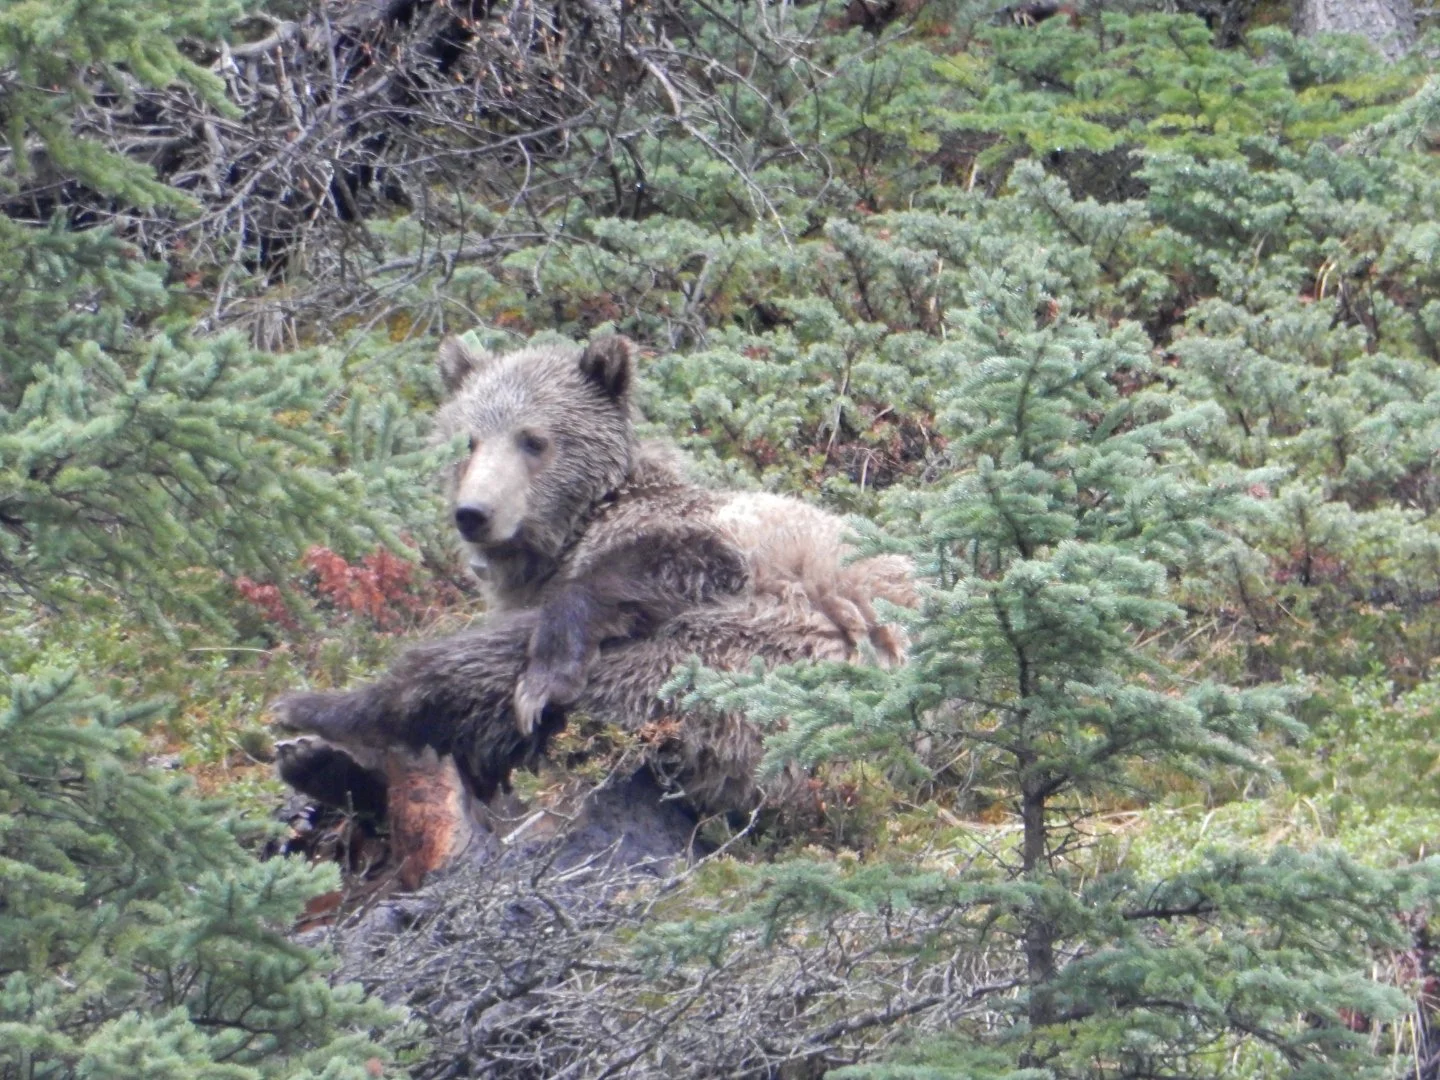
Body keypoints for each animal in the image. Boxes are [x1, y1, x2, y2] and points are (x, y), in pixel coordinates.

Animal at [274, 333, 914, 833]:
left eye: (533, 439)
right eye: (468, 440)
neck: (574, 527)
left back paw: (316, 720)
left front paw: (544, 677)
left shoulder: (725, 543)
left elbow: (652, 570)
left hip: (737, 672)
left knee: (477, 671)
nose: (473, 513)